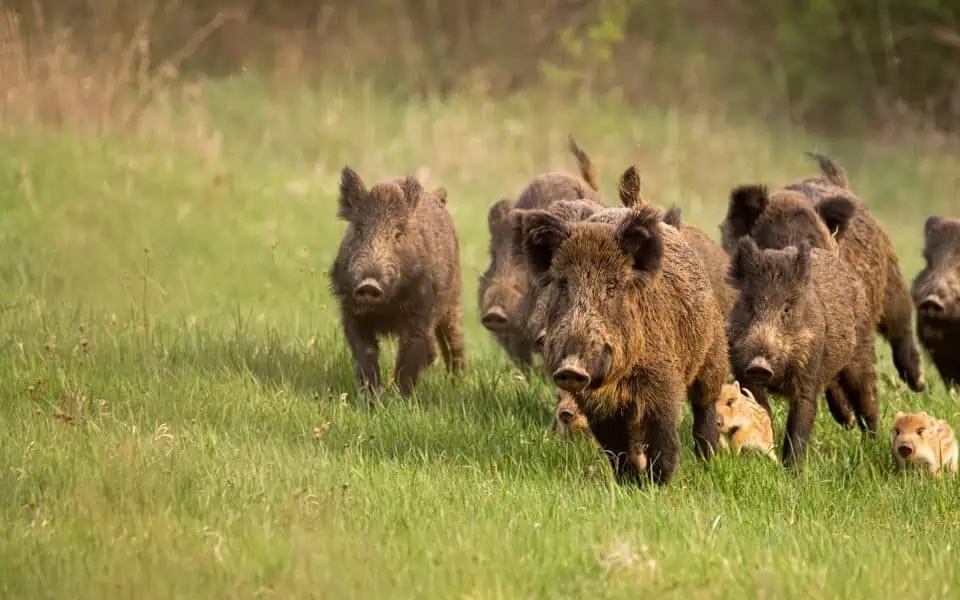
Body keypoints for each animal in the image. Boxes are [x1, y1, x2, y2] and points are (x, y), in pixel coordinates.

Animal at [329, 167, 465, 396]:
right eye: (359, 230)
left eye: (398, 234)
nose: (369, 285)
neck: (385, 309)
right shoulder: (351, 312)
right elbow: (365, 353)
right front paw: (371, 397)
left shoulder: (421, 312)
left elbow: (410, 354)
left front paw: (400, 398)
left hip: (453, 299)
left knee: (454, 338)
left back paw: (458, 381)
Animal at [516, 205, 729, 485]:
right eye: (564, 284)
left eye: (611, 287)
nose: (571, 369)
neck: (617, 379)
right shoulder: (596, 405)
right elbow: (614, 445)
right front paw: (629, 482)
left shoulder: (662, 381)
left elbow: (662, 433)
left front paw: (658, 482)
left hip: (713, 354)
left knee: (705, 406)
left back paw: (709, 459)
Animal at [726, 237, 878, 467]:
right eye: (750, 306)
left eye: (787, 309)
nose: (759, 366)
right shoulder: (743, 372)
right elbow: (761, 410)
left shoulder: (808, 372)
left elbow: (800, 421)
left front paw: (793, 470)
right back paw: (849, 423)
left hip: (862, 350)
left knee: (867, 398)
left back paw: (870, 444)